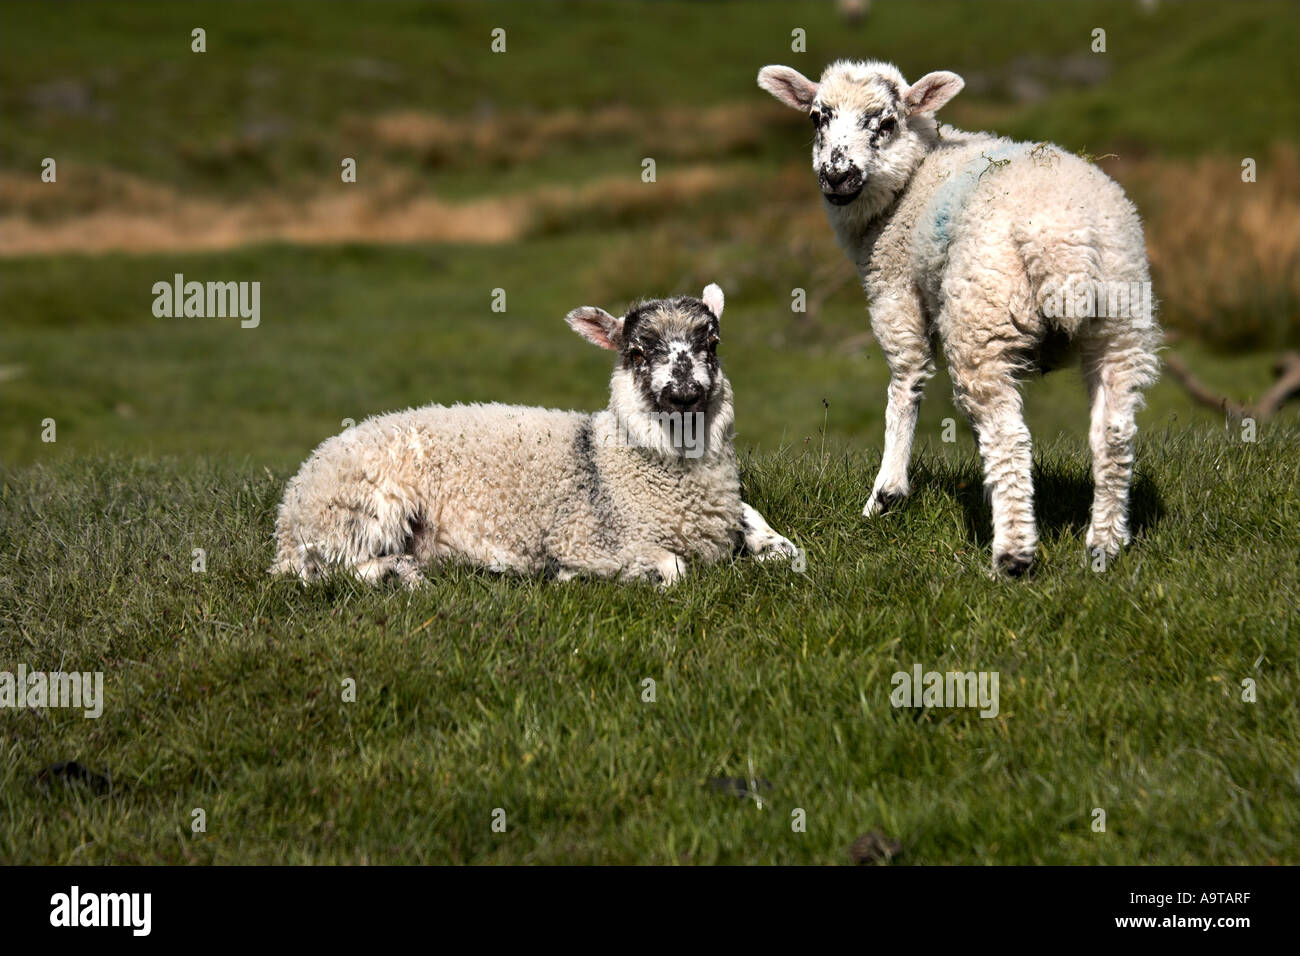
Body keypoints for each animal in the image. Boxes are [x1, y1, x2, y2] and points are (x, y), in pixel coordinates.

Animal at [270, 284, 797, 588]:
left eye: (713, 343)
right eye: (636, 352)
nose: (685, 393)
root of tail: (292, 503)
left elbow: (787, 551)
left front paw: (771, 547)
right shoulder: (587, 537)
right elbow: (672, 571)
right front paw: (572, 576)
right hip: (359, 511)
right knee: (326, 569)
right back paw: (397, 574)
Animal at [758, 59, 1161, 575]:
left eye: (886, 123)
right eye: (817, 118)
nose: (837, 176)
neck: (912, 180)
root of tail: (1061, 242)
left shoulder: (895, 291)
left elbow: (905, 383)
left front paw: (885, 495)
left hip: (982, 317)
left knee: (1009, 436)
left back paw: (1013, 554)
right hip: (1122, 321)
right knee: (1113, 433)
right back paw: (1104, 545)